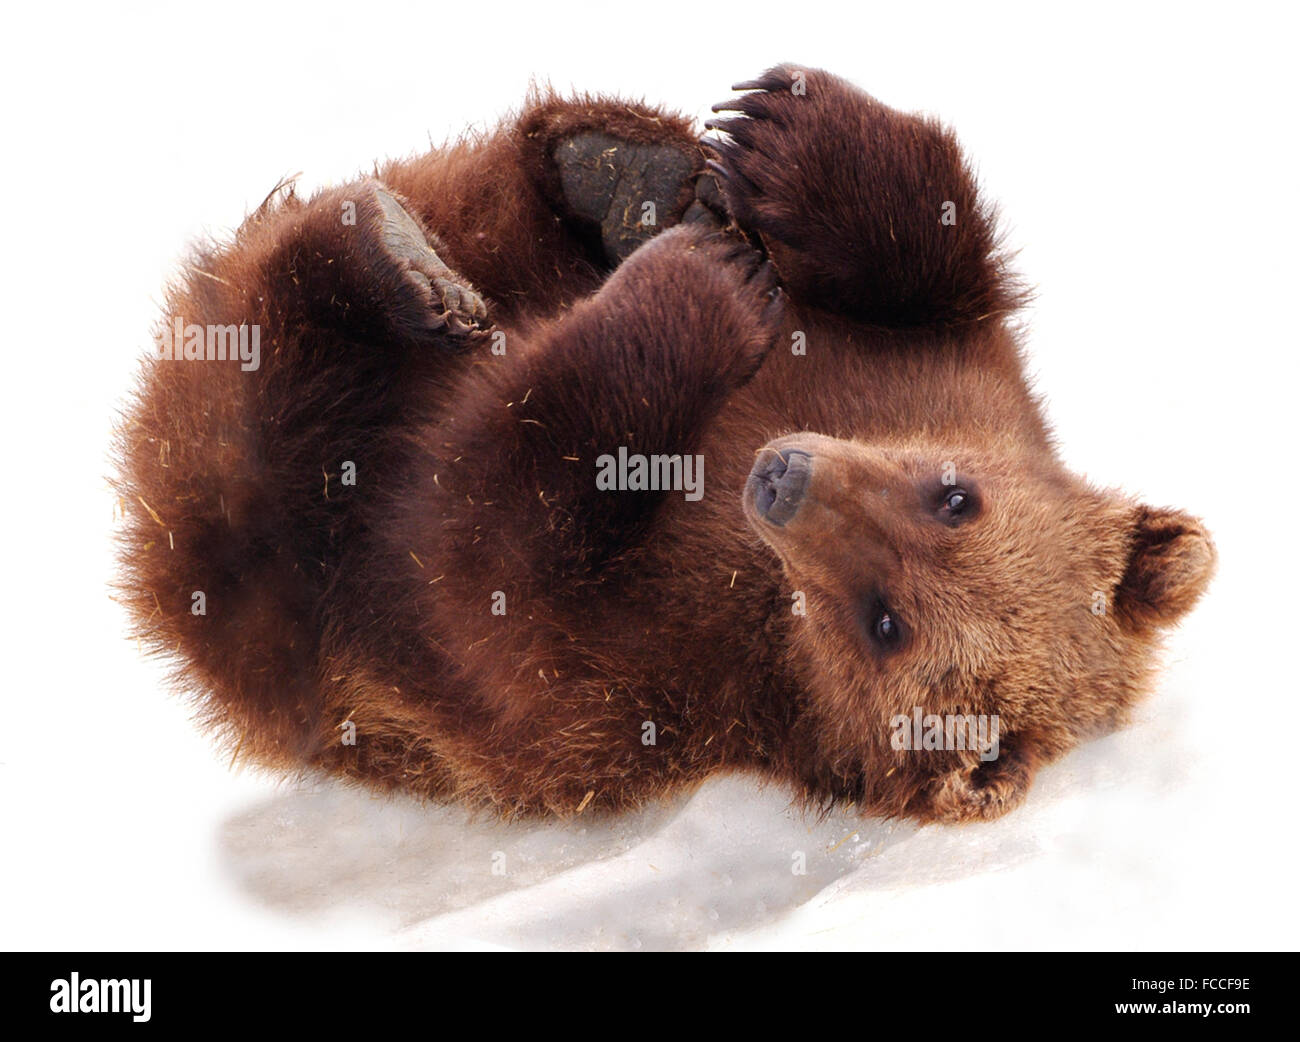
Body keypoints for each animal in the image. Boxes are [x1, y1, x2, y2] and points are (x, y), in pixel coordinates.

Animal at [113, 65, 1215, 824]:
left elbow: (477, 547)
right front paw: (787, 130)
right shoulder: (953, 367)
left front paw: (703, 291)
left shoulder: (636, 667)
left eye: (886, 623)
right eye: (956, 498)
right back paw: (610, 177)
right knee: (466, 201)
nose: (784, 476)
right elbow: (930, 242)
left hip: (265, 577)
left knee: (265, 393)